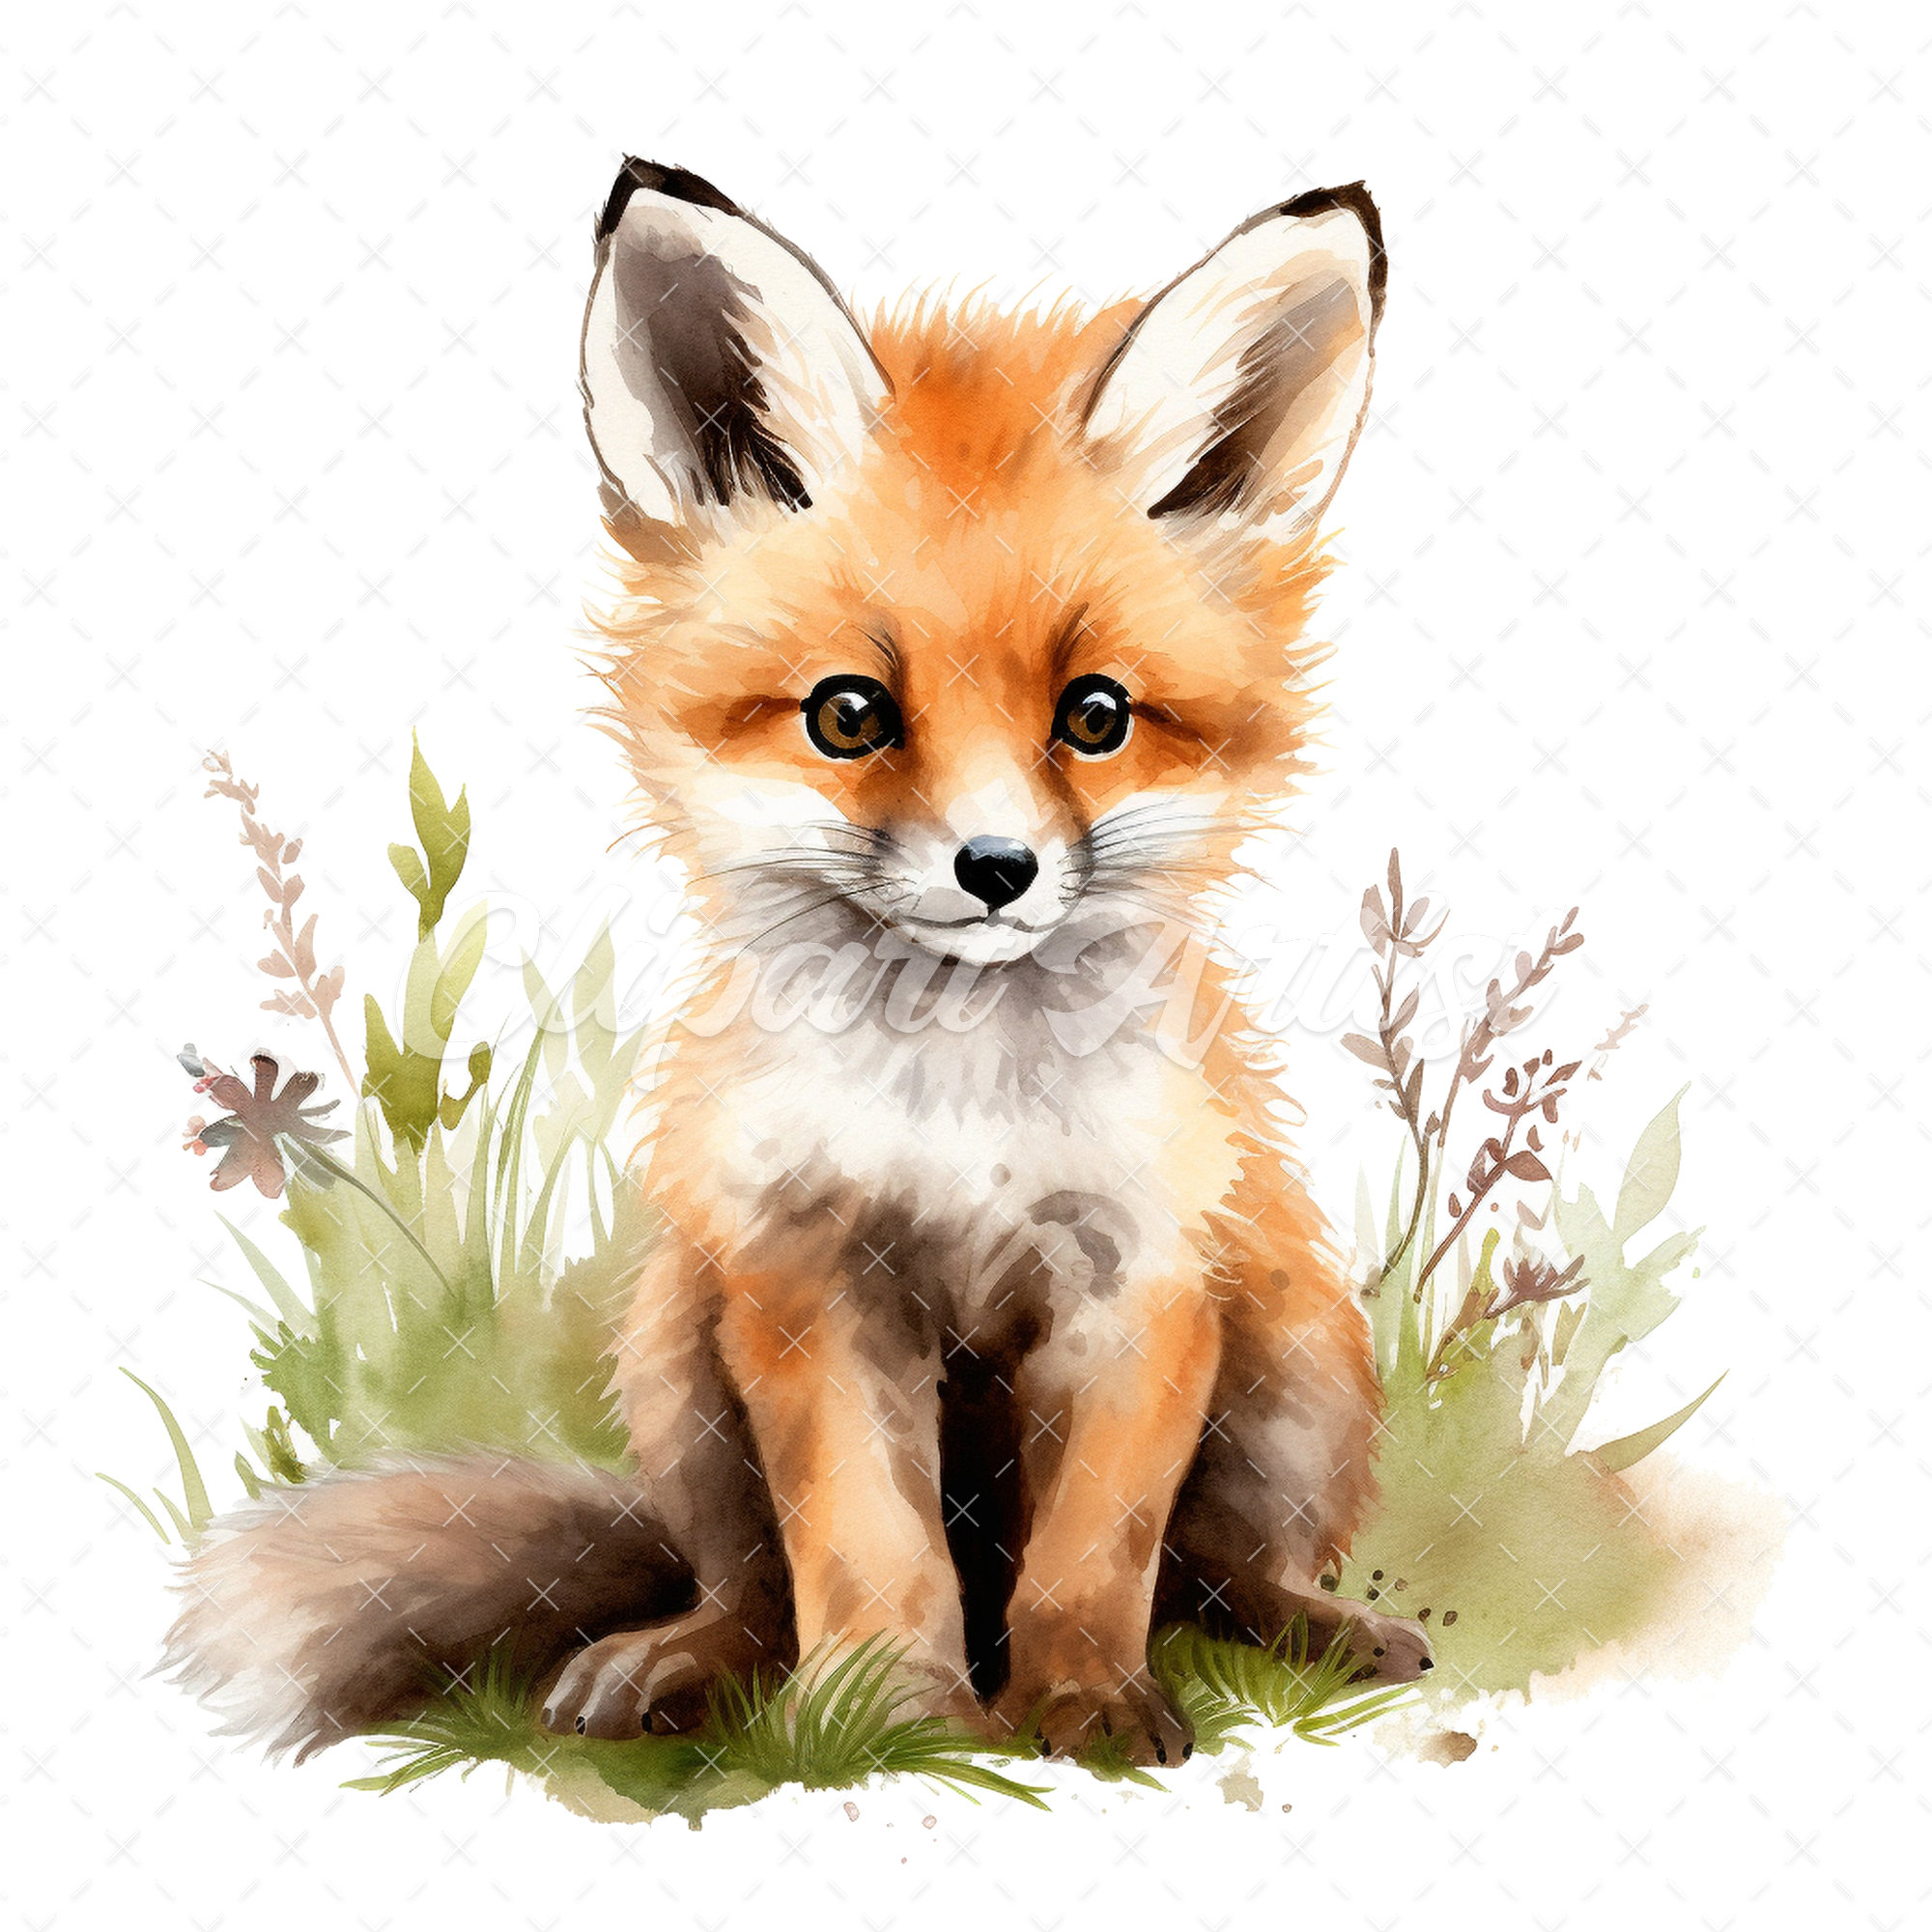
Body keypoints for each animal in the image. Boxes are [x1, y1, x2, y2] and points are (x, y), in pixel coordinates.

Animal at [166, 159, 1431, 1769]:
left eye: (1095, 716)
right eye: (848, 715)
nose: (997, 870)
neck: (960, 1110)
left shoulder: (1137, 1283)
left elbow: (1096, 1553)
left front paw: (1079, 1705)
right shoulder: (811, 1274)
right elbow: (865, 1541)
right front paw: (895, 1719)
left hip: (1298, 1360)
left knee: (1216, 1572)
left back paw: (1311, 1629)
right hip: (680, 1357)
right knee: (749, 1590)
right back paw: (685, 1661)